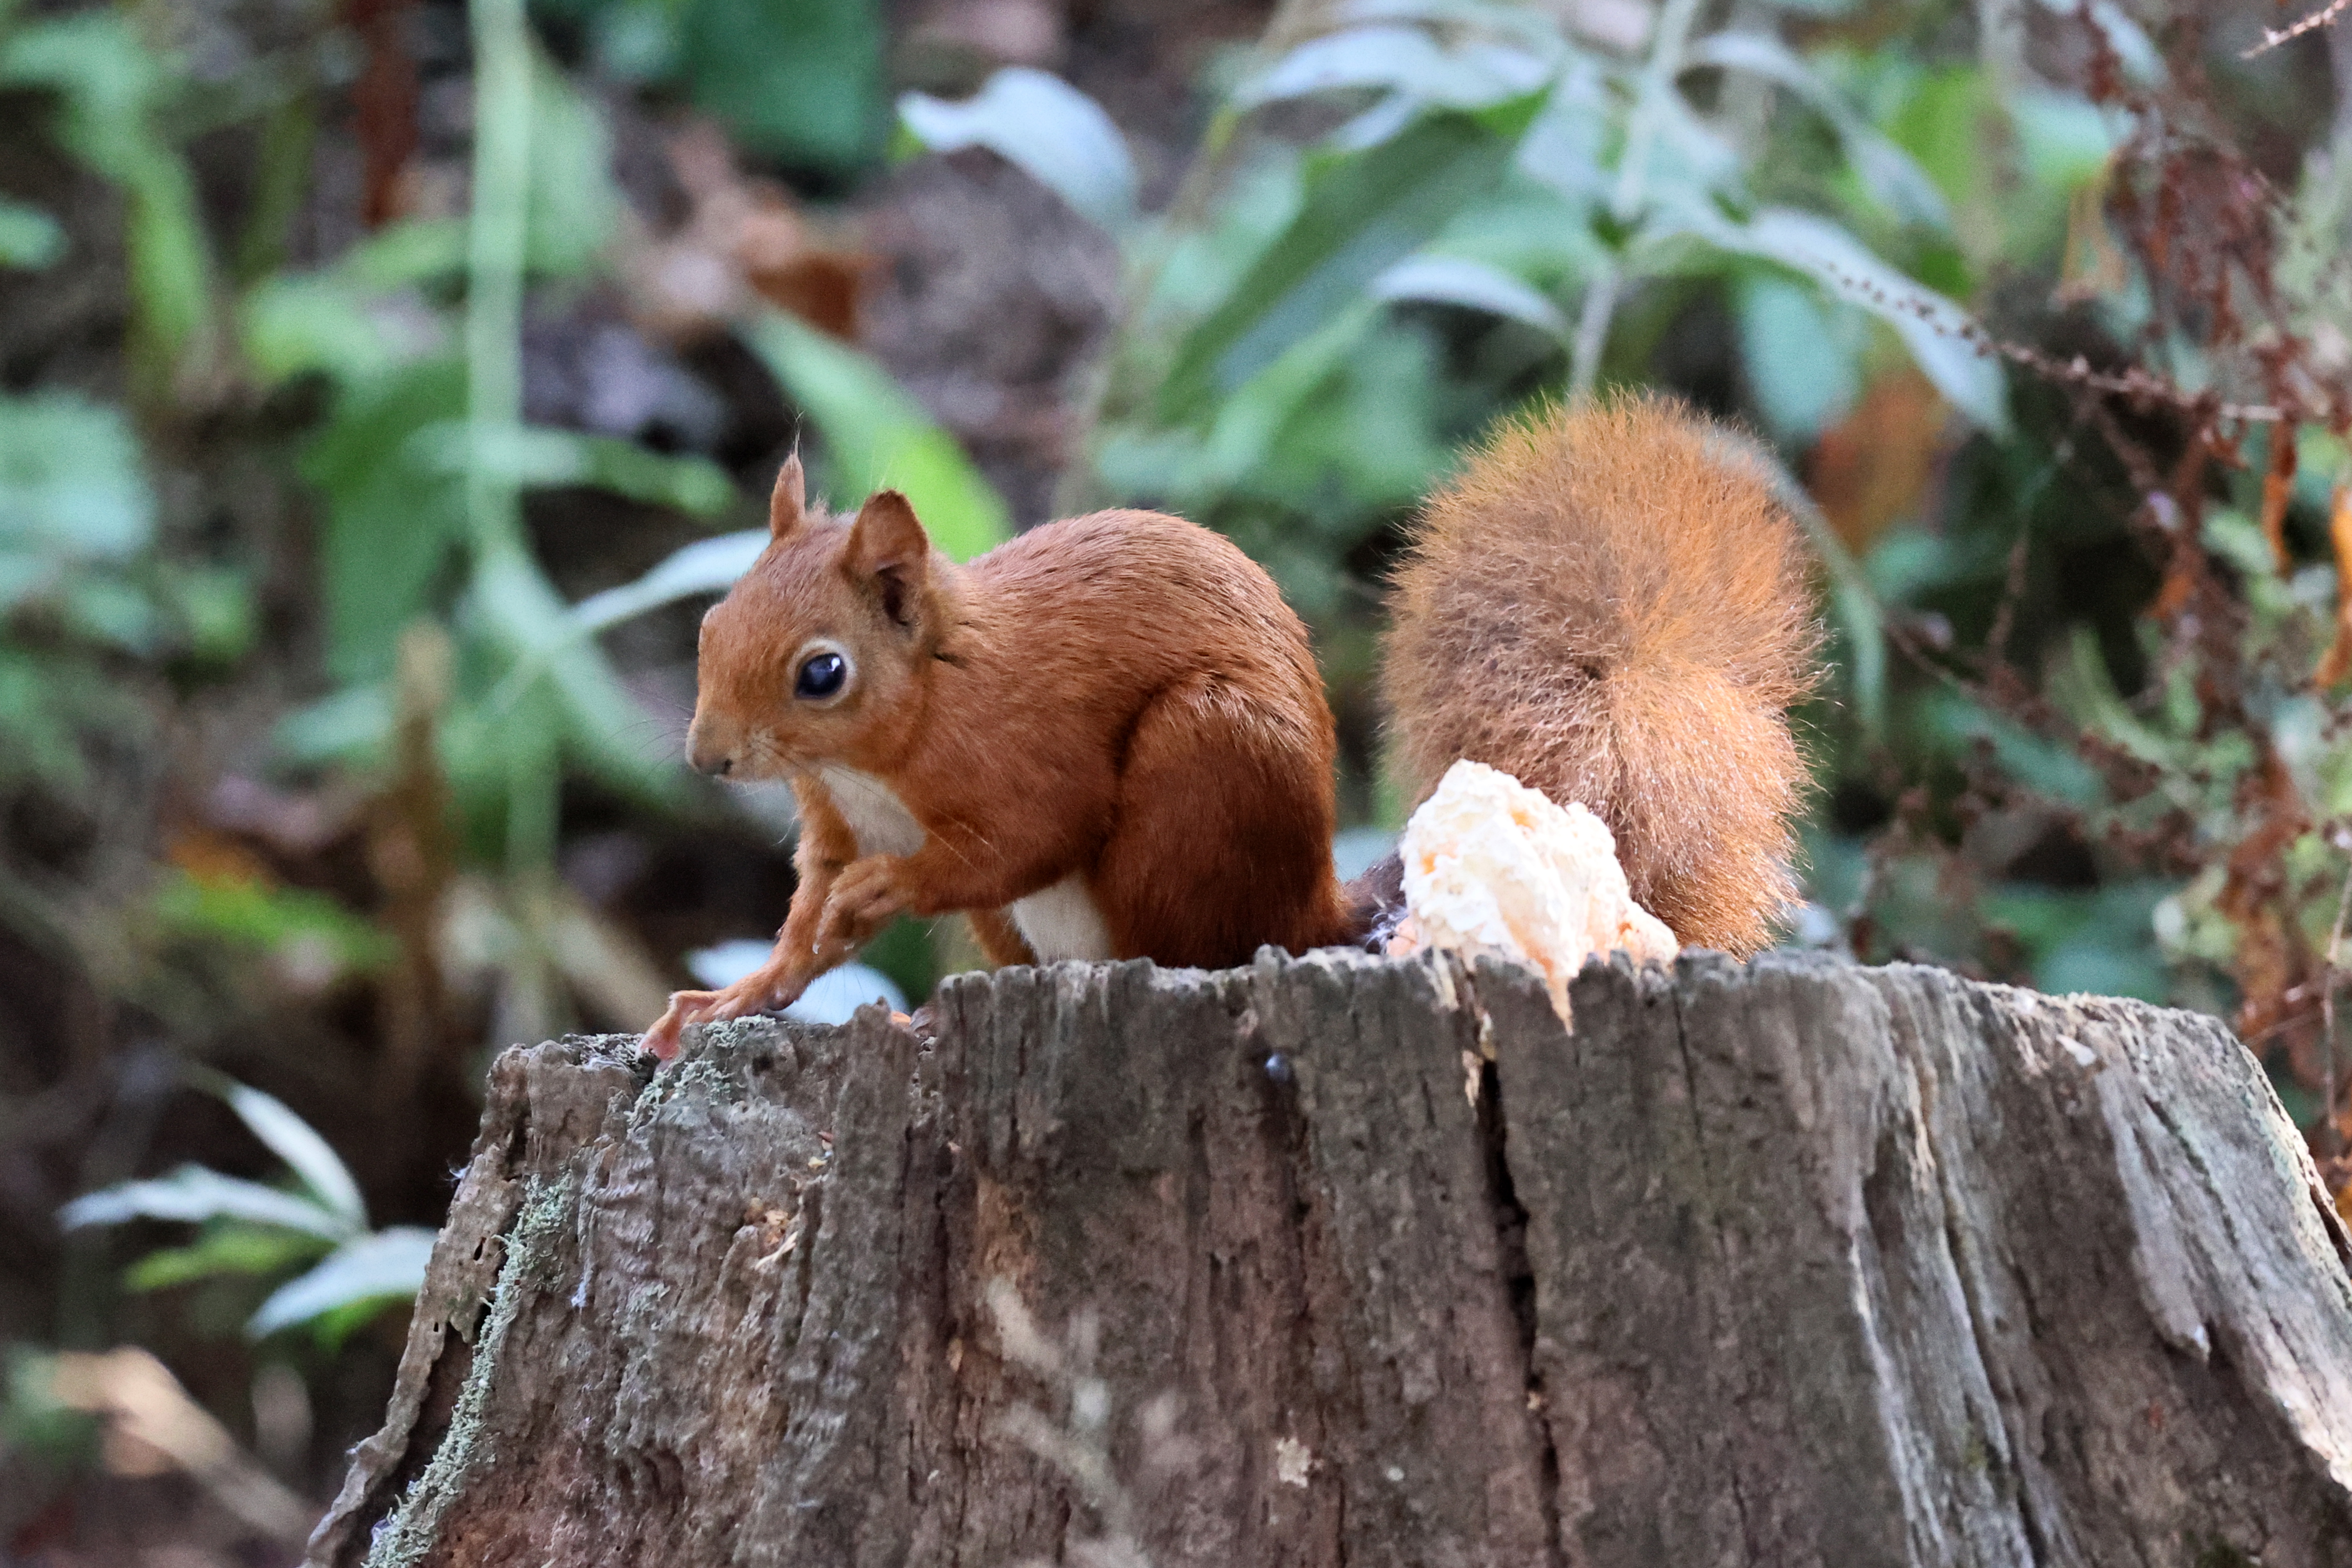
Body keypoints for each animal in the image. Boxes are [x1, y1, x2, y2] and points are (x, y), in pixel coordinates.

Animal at [642, 393, 1820, 1059]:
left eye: (822, 672)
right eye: (711, 621)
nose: (707, 756)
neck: (886, 746)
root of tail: (1309, 909)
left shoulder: (1020, 748)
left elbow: (1033, 833)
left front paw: (885, 892)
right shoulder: (834, 820)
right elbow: (803, 922)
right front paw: (736, 996)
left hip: (1201, 762)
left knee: (1189, 950)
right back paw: (924, 1018)